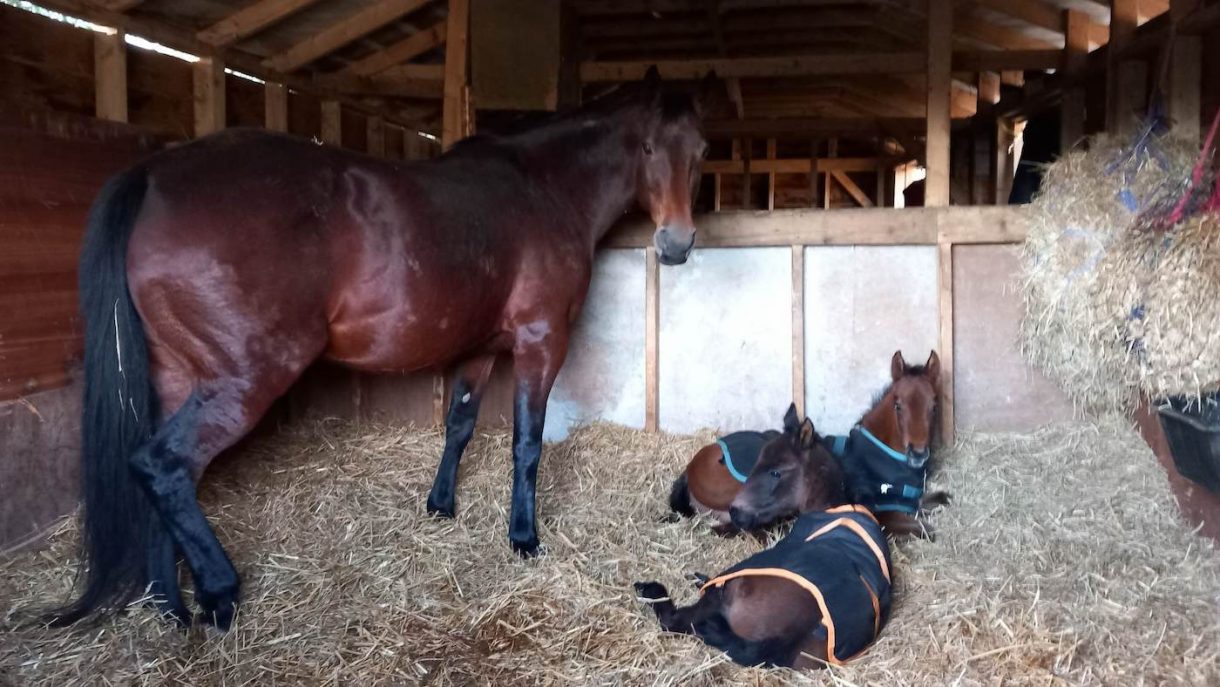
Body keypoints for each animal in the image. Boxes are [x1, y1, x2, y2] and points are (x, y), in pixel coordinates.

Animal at [49, 68, 709, 629]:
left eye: (701, 150)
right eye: (649, 149)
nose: (677, 245)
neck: (543, 187)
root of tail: (154, 175)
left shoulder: (480, 348)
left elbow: (460, 424)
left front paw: (441, 506)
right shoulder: (540, 340)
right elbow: (526, 443)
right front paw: (523, 538)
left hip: (175, 378)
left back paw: (170, 605)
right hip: (242, 381)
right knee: (162, 465)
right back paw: (218, 592)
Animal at [636, 405, 892, 669]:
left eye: (776, 472)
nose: (736, 512)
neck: (833, 507)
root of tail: (791, 633)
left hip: (731, 585)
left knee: (677, 618)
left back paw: (652, 589)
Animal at [668, 350, 946, 538]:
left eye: (934, 405)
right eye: (898, 405)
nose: (918, 453)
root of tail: (690, 469)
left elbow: (940, 500)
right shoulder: (883, 512)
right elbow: (928, 530)